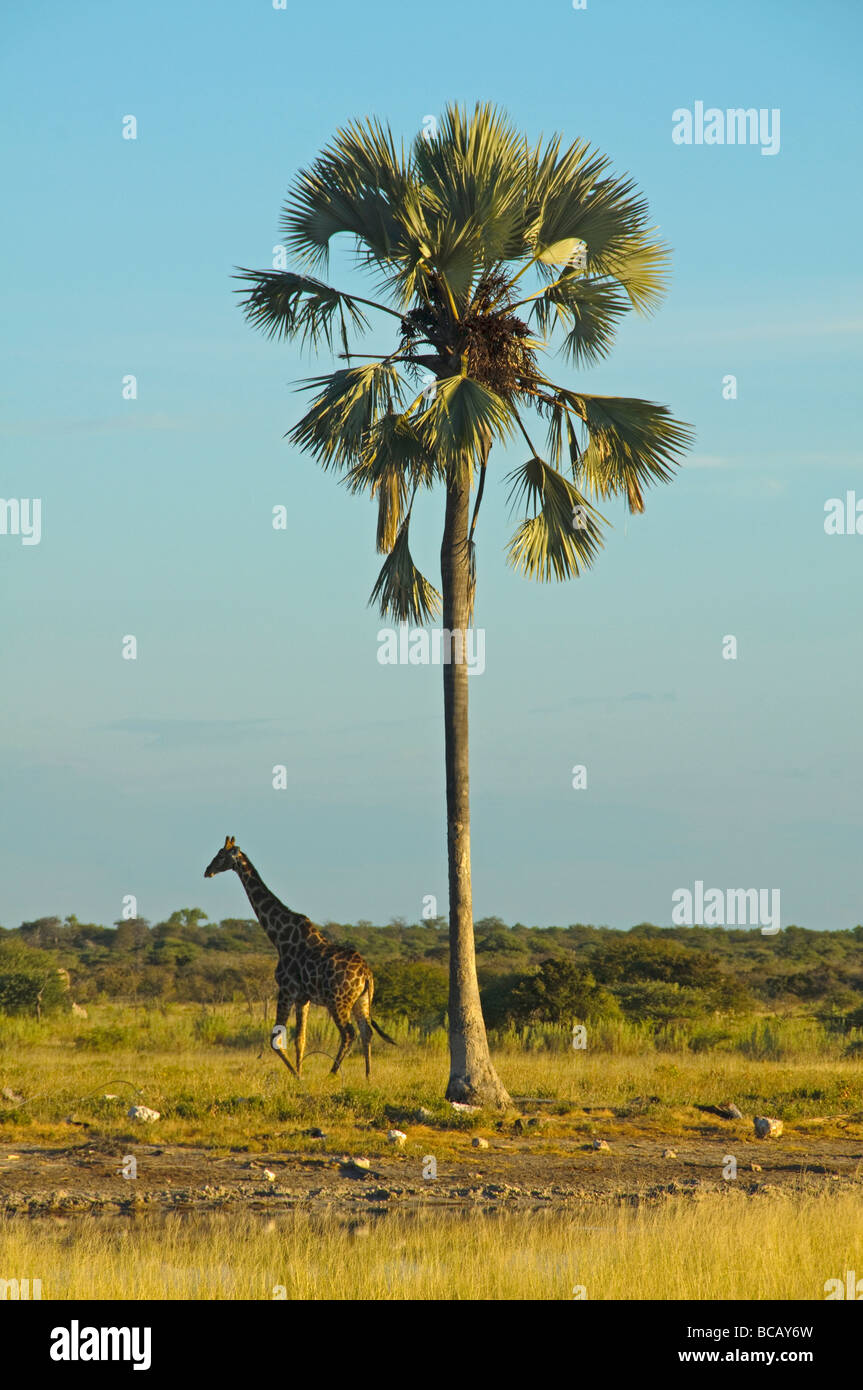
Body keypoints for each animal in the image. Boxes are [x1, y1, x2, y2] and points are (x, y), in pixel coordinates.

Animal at [203, 836, 395, 1078]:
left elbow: (276, 1038)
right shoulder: (303, 996)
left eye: (220, 854)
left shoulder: (287, 989)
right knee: (366, 1031)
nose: (207, 871)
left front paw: (297, 1076)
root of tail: (367, 974)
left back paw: (332, 1073)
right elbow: (300, 1039)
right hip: (361, 1000)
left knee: (349, 1033)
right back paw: (368, 1076)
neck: (279, 936)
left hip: (338, 1001)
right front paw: (300, 1072)